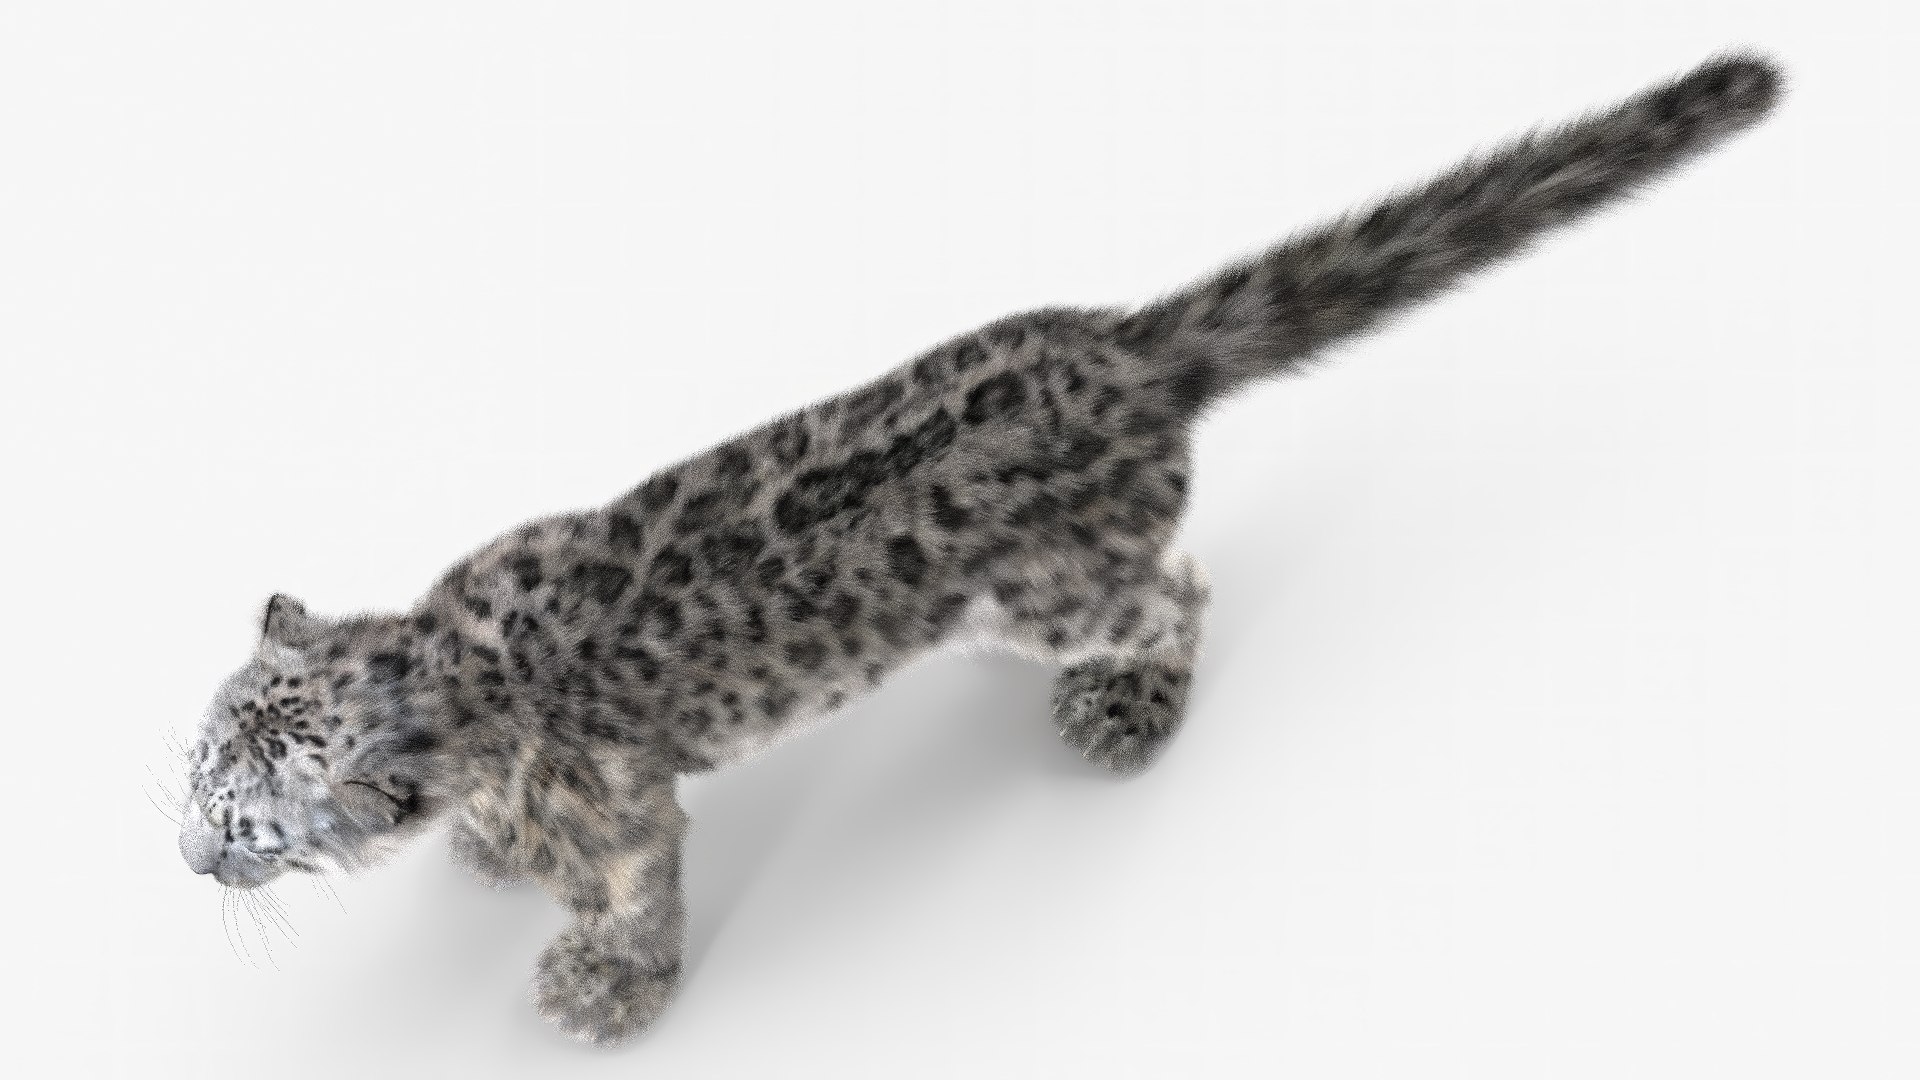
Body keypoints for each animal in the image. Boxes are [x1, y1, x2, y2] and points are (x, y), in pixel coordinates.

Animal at [173, 53, 1781, 1044]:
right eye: (194, 772)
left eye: (252, 827)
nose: (187, 859)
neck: (447, 661)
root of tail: (1126, 350)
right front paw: (488, 853)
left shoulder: (626, 818)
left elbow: (630, 894)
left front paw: (598, 983)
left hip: (1055, 597)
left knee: (1177, 587)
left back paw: (1127, 700)